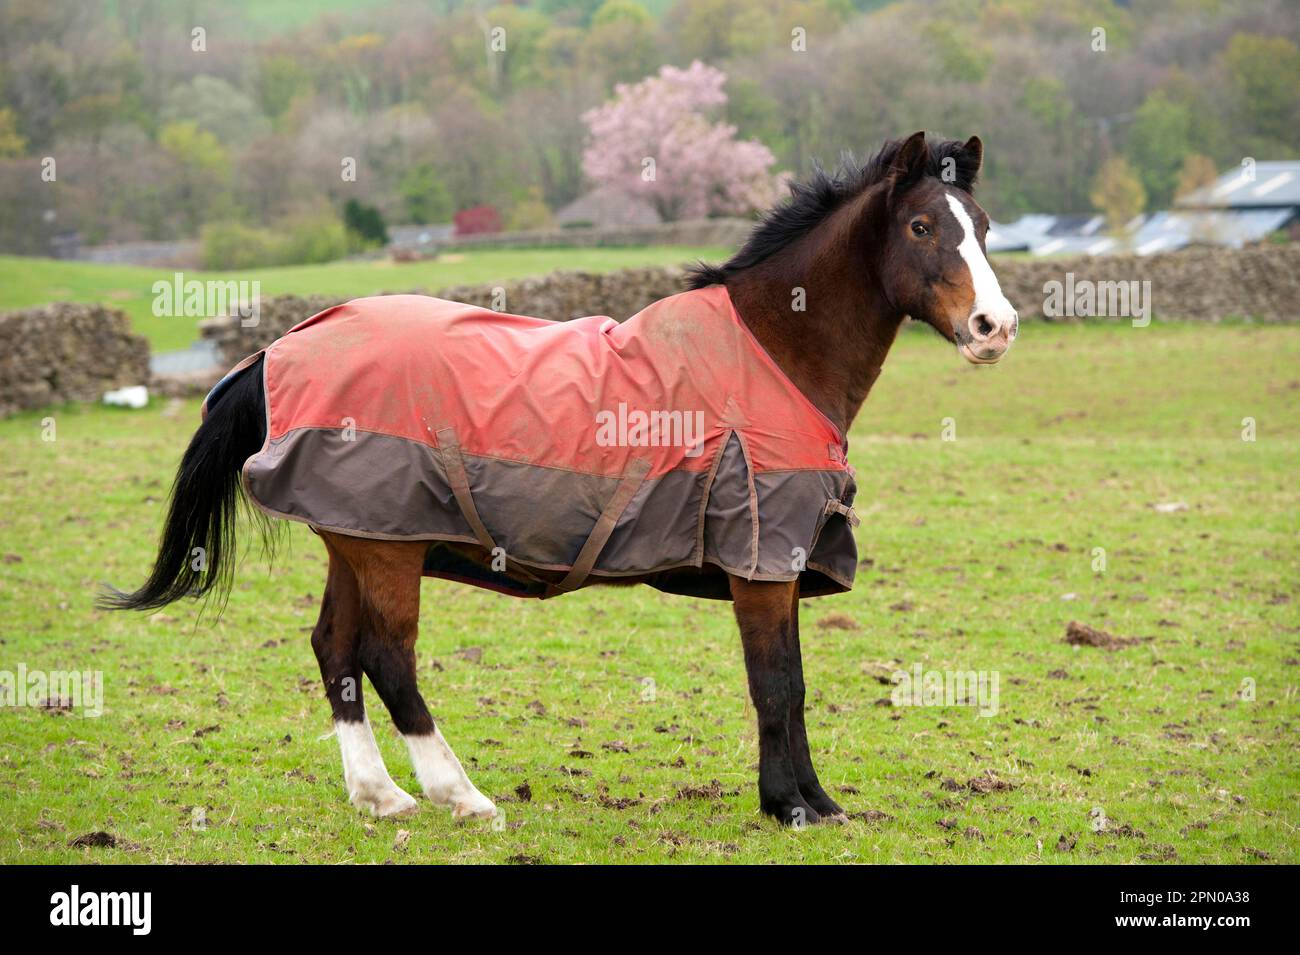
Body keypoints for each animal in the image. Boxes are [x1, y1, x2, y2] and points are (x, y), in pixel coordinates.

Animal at [104, 131, 1018, 826]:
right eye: (923, 226)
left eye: (984, 226)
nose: (994, 326)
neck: (772, 352)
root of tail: (277, 351)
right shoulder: (761, 564)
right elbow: (776, 685)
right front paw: (790, 805)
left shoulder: (783, 564)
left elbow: (790, 686)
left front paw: (815, 801)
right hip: (388, 549)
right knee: (389, 658)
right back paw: (461, 795)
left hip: (359, 539)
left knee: (335, 649)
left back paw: (380, 795)